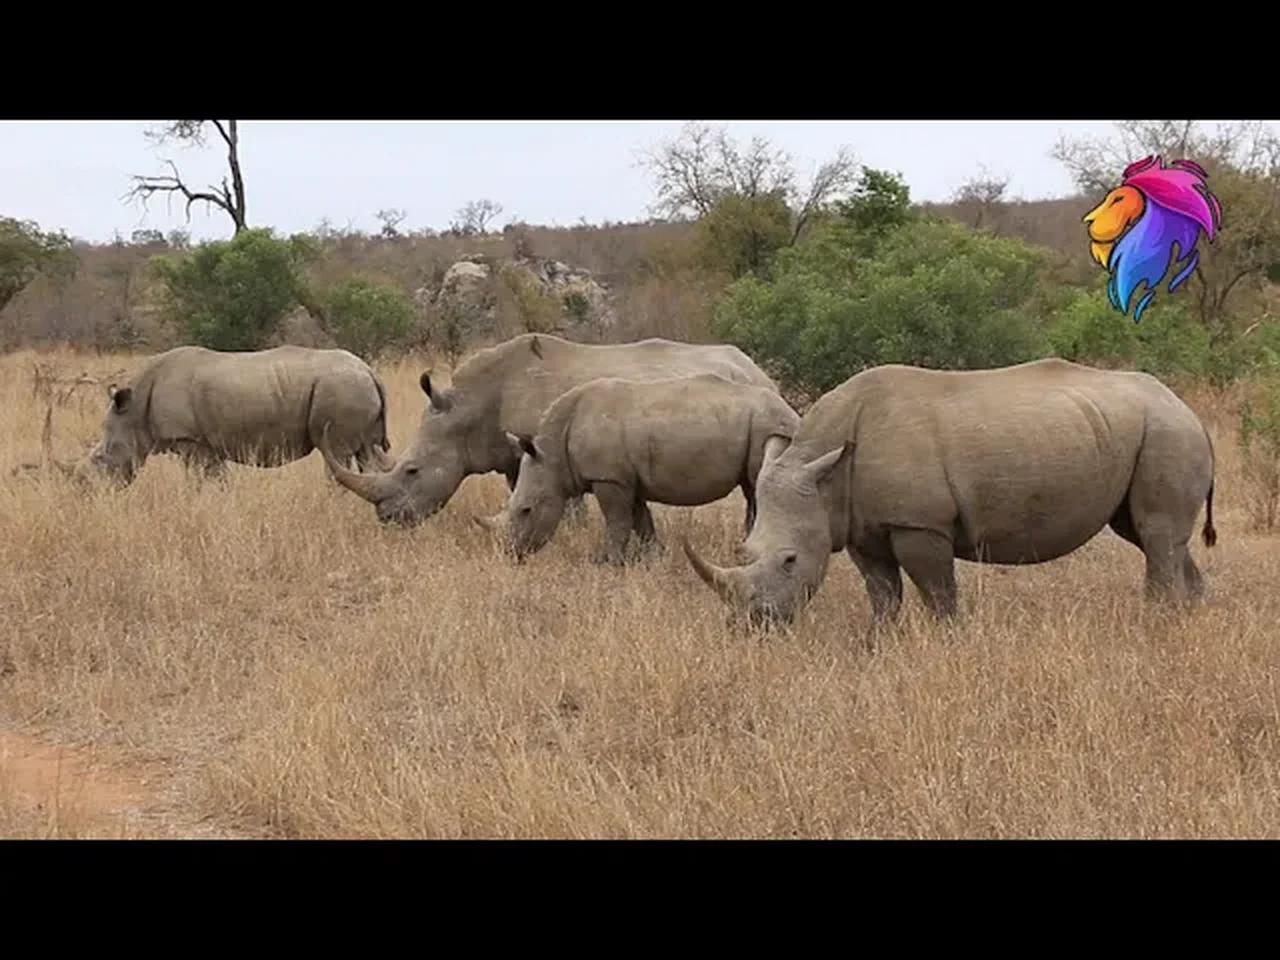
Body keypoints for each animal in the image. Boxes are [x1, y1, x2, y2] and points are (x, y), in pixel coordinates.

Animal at [44, 344, 392, 484]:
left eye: (103, 457)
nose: (88, 493)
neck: (134, 411)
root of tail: (370, 371)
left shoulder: (190, 442)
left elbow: (199, 483)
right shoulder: (208, 445)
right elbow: (219, 481)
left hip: (341, 388)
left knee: (336, 453)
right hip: (352, 387)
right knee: (367, 454)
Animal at [478, 373, 801, 563]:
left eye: (526, 510)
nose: (511, 554)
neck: (552, 453)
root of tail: (792, 412)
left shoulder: (608, 478)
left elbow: (618, 522)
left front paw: (606, 562)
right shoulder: (626, 478)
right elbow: (641, 520)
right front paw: (653, 559)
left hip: (768, 426)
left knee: (755, 487)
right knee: (751, 488)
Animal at [682, 358, 1218, 628]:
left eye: (790, 560)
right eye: (744, 551)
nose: (752, 624)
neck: (823, 468)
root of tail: (1187, 408)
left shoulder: (921, 523)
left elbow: (938, 593)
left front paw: (948, 642)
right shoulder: (857, 522)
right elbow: (883, 593)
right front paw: (880, 643)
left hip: (1166, 432)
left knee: (1155, 534)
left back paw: (1155, 624)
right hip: (1141, 430)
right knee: (1152, 535)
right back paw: (1190, 619)